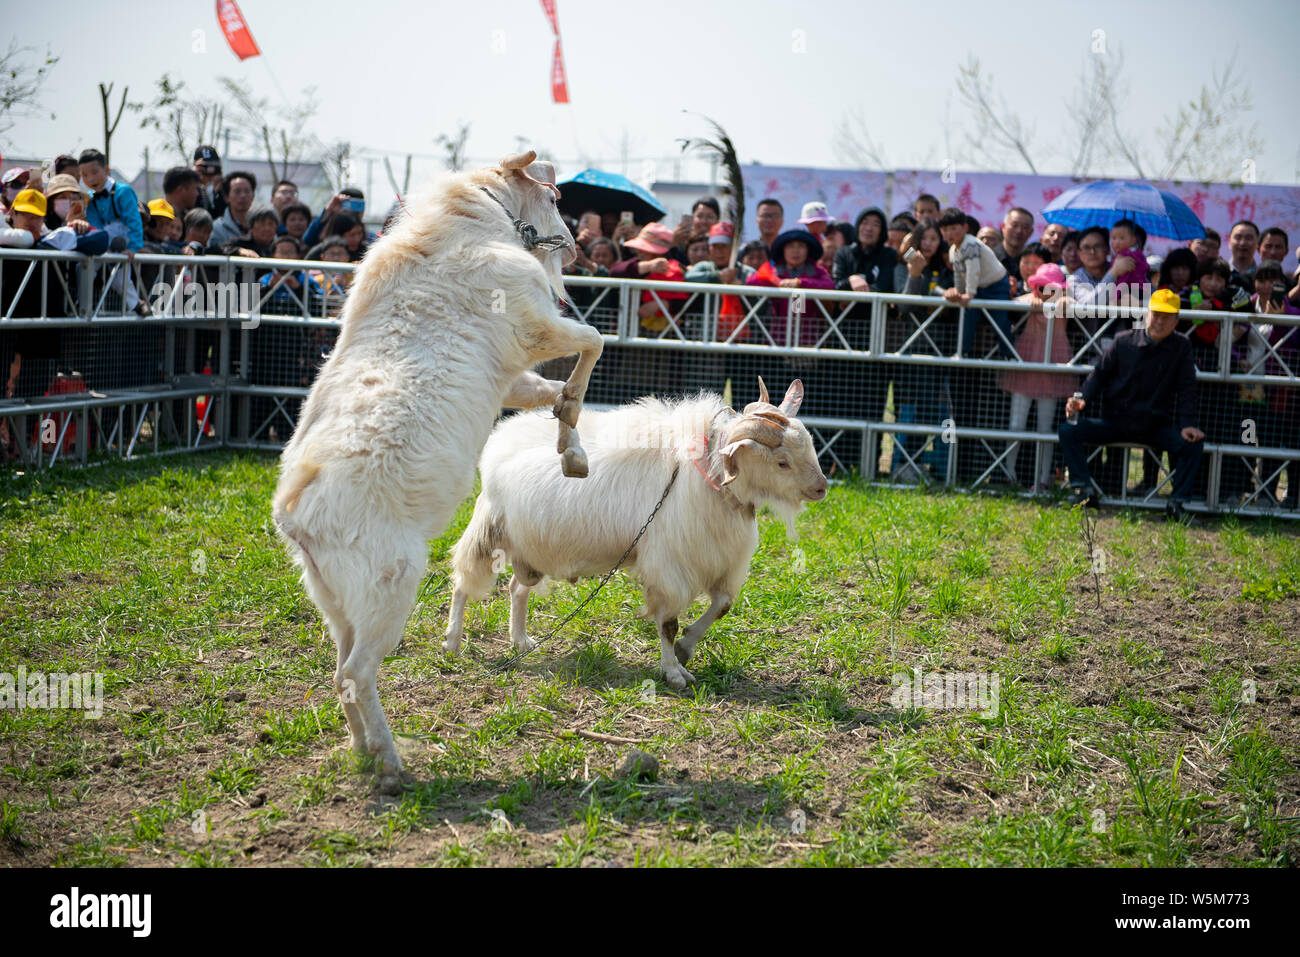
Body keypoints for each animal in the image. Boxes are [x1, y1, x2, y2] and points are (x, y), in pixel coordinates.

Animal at [271, 151, 603, 793]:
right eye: (553, 196)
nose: (575, 247)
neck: (472, 223)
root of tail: (296, 519)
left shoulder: (509, 375)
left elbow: (548, 394)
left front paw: (572, 451)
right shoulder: (533, 324)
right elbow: (592, 343)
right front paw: (572, 431)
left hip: (336, 599)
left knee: (340, 672)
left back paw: (364, 753)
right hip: (389, 584)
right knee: (355, 673)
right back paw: (392, 763)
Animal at [445, 379, 827, 689]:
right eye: (782, 462)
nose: (821, 489)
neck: (712, 478)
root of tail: (502, 440)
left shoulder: (721, 562)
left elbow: (721, 606)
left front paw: (687, 647)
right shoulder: (670, 569)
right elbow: (668, 623)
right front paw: (674, 672)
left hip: (532, 551)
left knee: (516, 588)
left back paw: (521, 641)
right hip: (488, 534)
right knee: (463, 585)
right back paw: (453, 642)